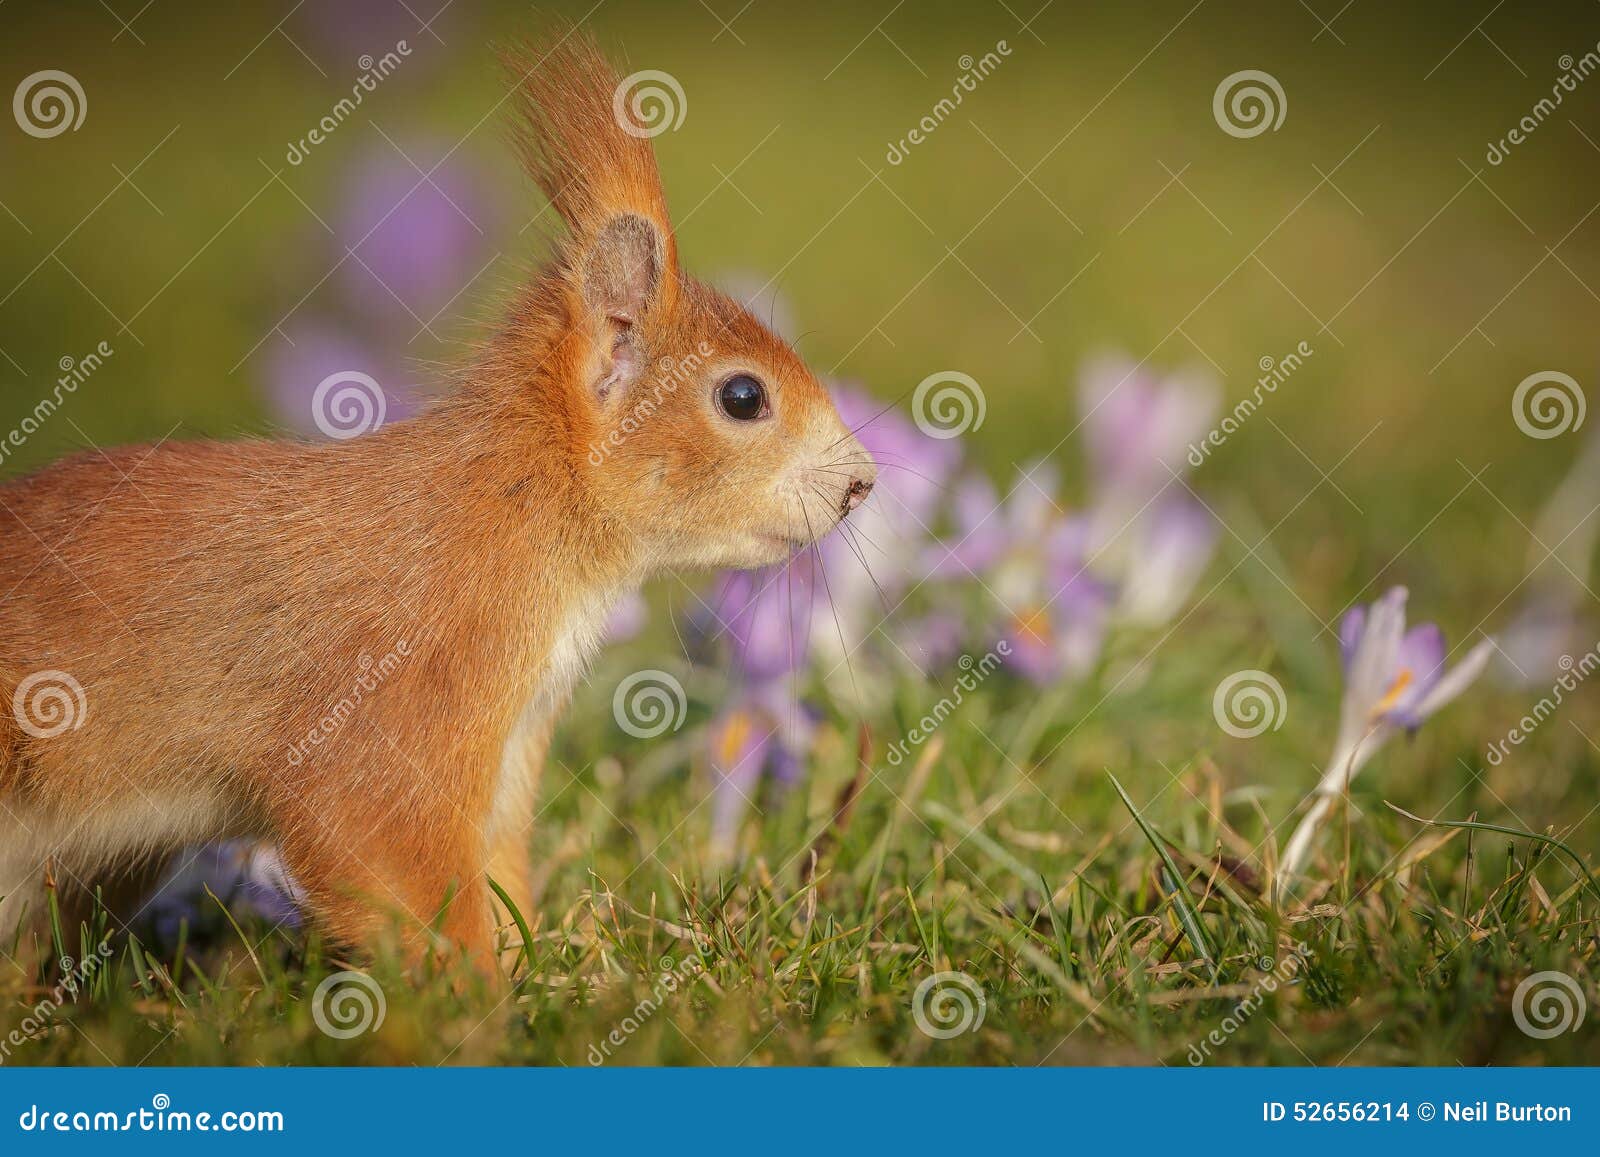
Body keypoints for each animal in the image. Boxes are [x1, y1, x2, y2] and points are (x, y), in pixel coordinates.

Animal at [0, 34, 876, 975]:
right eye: (742, 397)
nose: (862, 481)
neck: (518, 505)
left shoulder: (514, 738)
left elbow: (498, 869)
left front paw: (540, 965)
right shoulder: (407, 682)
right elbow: (379, 842)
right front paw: (480, 995)